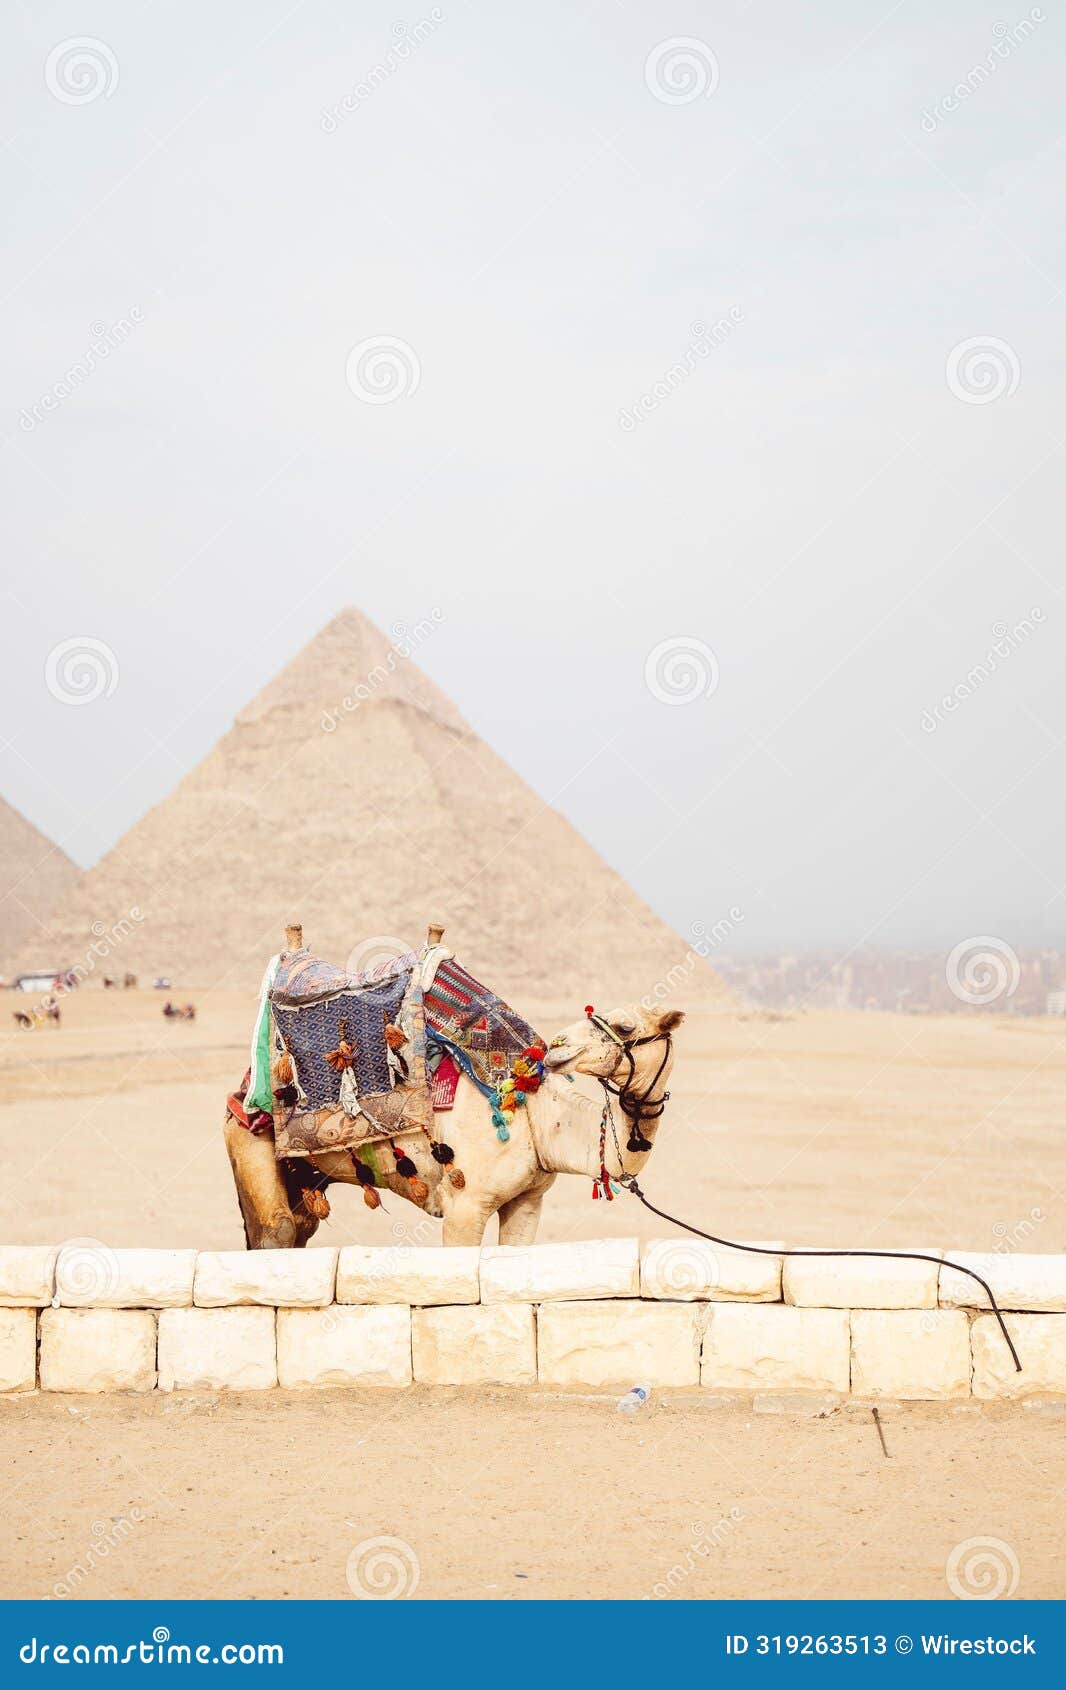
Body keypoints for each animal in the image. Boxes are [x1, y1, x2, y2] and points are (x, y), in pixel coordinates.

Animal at [224, 1001, 683, 1248]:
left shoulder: (527, 1201)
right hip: (247, 1140)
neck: (537, 1119)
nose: (558, 1046)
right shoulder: (466, 1203)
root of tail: (245, 1089)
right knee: (279, 1231)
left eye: (624, 1026)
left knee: (299, 1227)